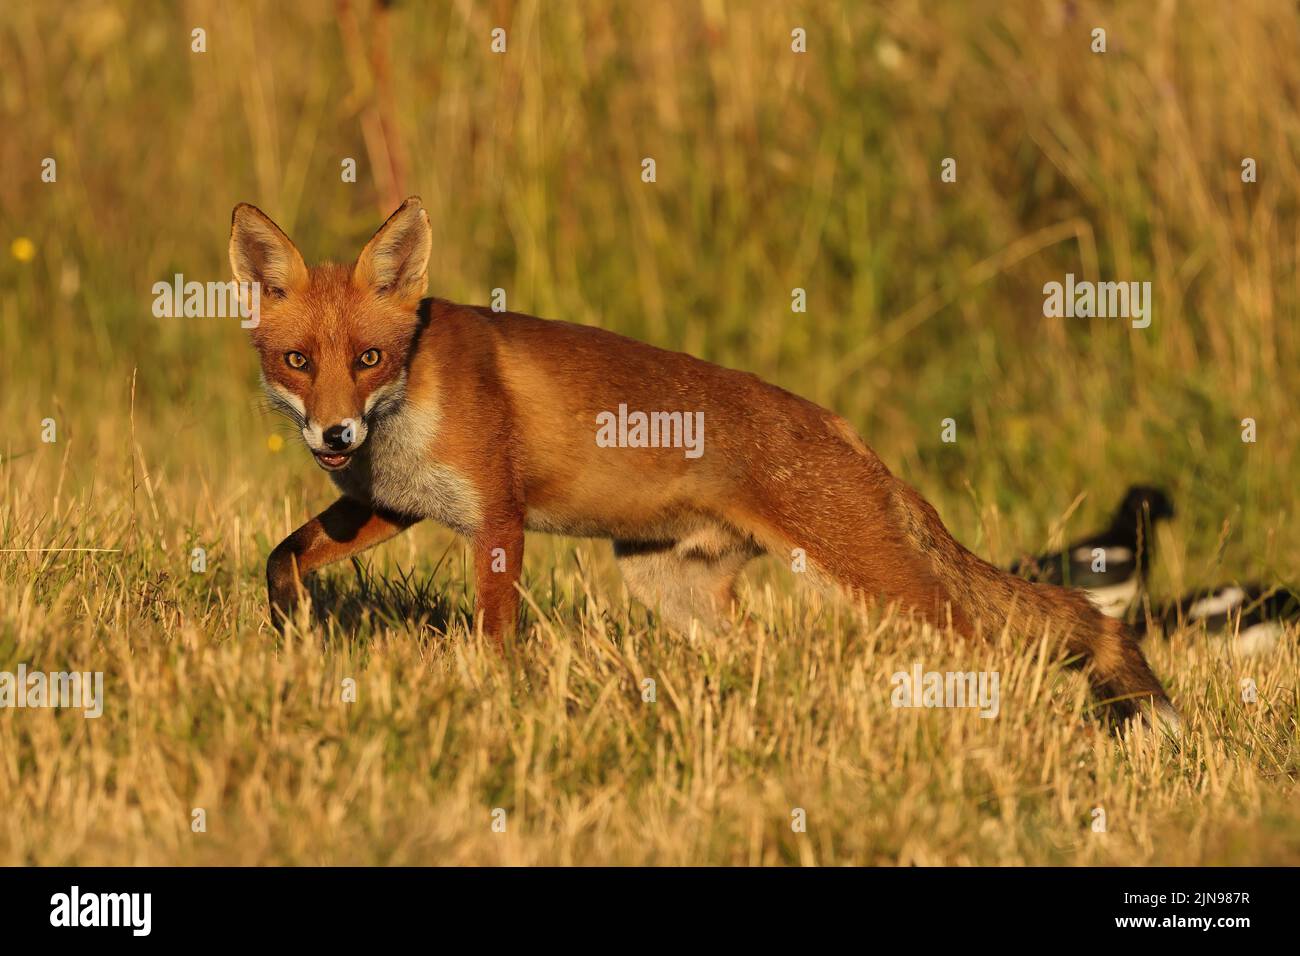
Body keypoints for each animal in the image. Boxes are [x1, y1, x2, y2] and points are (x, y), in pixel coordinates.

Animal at [230, 196, 1180, 732]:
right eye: (298, 363)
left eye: (369, 358)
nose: (335, 438)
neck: (413, 393)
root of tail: (839, 423)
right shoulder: (395, 506)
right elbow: (283, 557)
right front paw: (292, 634)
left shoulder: (497, 515)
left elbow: (495, 637)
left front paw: (497, 702)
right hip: (675, 593)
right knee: (766, 656)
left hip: (878, 585)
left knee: (1007, 641)